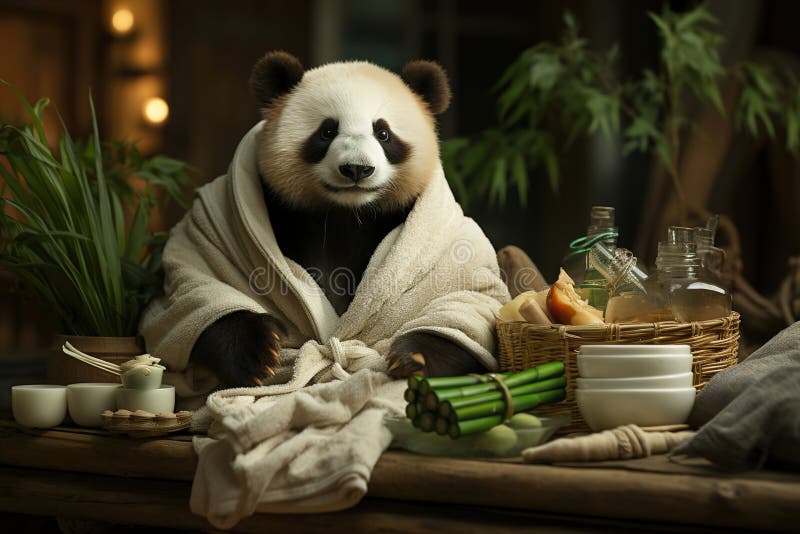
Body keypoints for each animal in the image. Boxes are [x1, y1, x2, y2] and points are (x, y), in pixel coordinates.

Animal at [190, 51, 486, 388]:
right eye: (327, 131)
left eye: (383, 133)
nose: (357, 168)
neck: (347, 212)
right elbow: (206, 285)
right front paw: (257, 356)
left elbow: (460, 302)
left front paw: (413, 359)